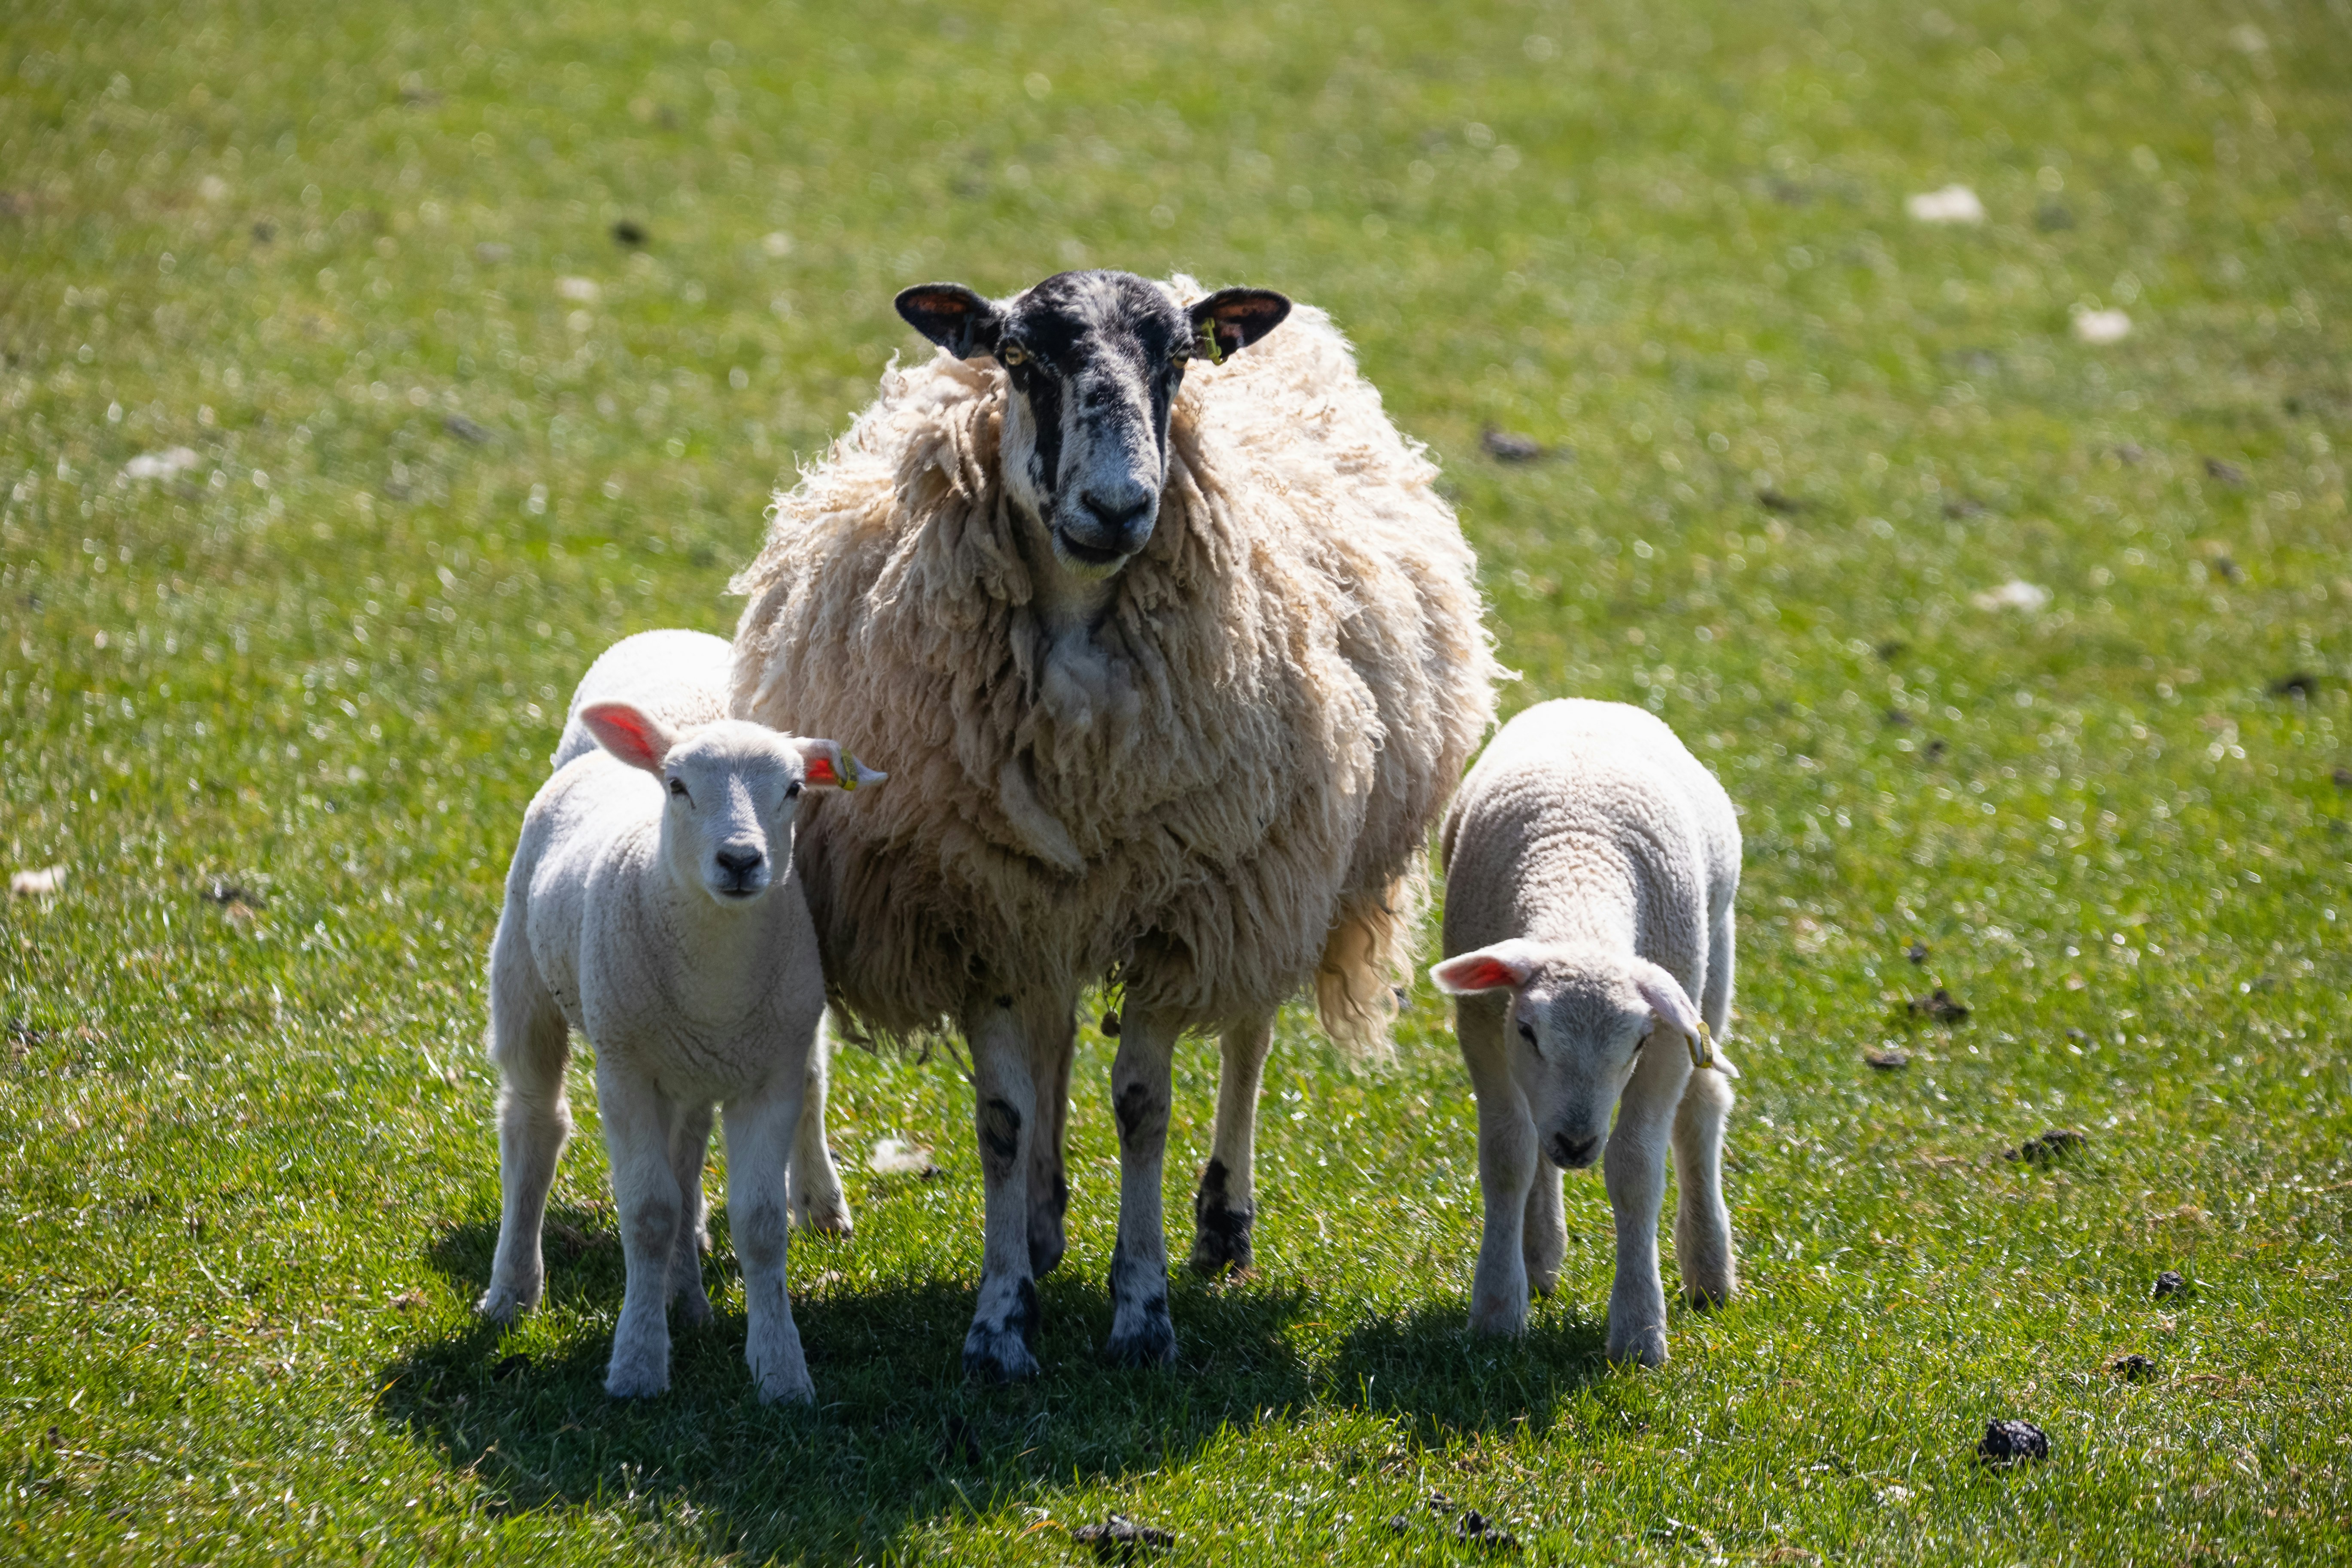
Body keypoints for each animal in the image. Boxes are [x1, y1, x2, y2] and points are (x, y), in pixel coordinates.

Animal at [474, 628, 884, 1402]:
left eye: (793, 789)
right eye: (679, 787)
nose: (741, 860)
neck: (715, 972)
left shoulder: (768, 1075)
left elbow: (758, 1222)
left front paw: (781, 1369)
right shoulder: (627, 1072)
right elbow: (648, 1213)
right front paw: (637, 1363)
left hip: (694, 1063)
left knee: (692, 1152)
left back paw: (689, 1294)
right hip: (526, 983)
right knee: (533, 1124)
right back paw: (513, 1288)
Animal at [731, 270, 1500, 1380]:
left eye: (1176, 361)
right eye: (1016, 357)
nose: (1118, 506)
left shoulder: (1187, 902)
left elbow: (1143, 1106)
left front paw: (1141, 1308)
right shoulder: (974, 906)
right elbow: (1003, 1116)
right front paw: (1000, 1314)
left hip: (1273, 863)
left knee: (1247, 1030)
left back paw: (1222, 1220)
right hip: (1053, 889)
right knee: (1052, 1025)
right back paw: (1043, 1221)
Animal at [1429, 698, 1740, 1368]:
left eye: (1637, 1043)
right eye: (1527, 1030)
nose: (1575, 1145)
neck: (1577, 877)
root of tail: (1590, 702)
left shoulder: (1669, 1043)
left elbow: (1636, 1169)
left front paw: (1640, 1331)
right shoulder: (1483, 1029)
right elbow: (1508, 1155)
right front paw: (1497, 1311)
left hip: (1713, 961)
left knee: (1701, 1109)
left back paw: (1708, 1269)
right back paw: (1539, 1253)